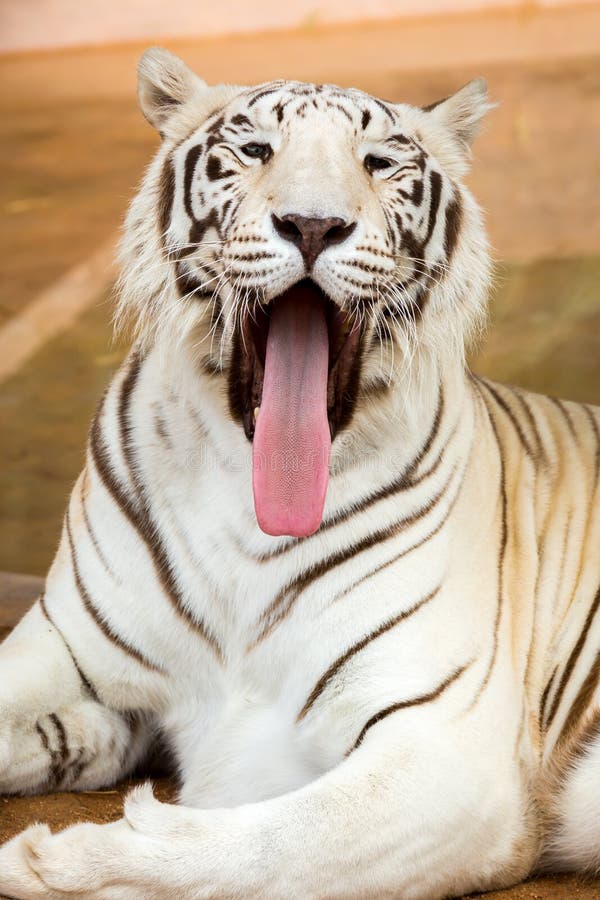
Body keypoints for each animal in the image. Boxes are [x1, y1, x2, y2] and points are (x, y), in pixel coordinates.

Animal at [0, 45, 598, 900]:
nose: (314, 225)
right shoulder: (63, 650)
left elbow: (266, 848)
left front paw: (63, 862)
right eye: (256, 150)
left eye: (378, 163)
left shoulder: (443, 748)